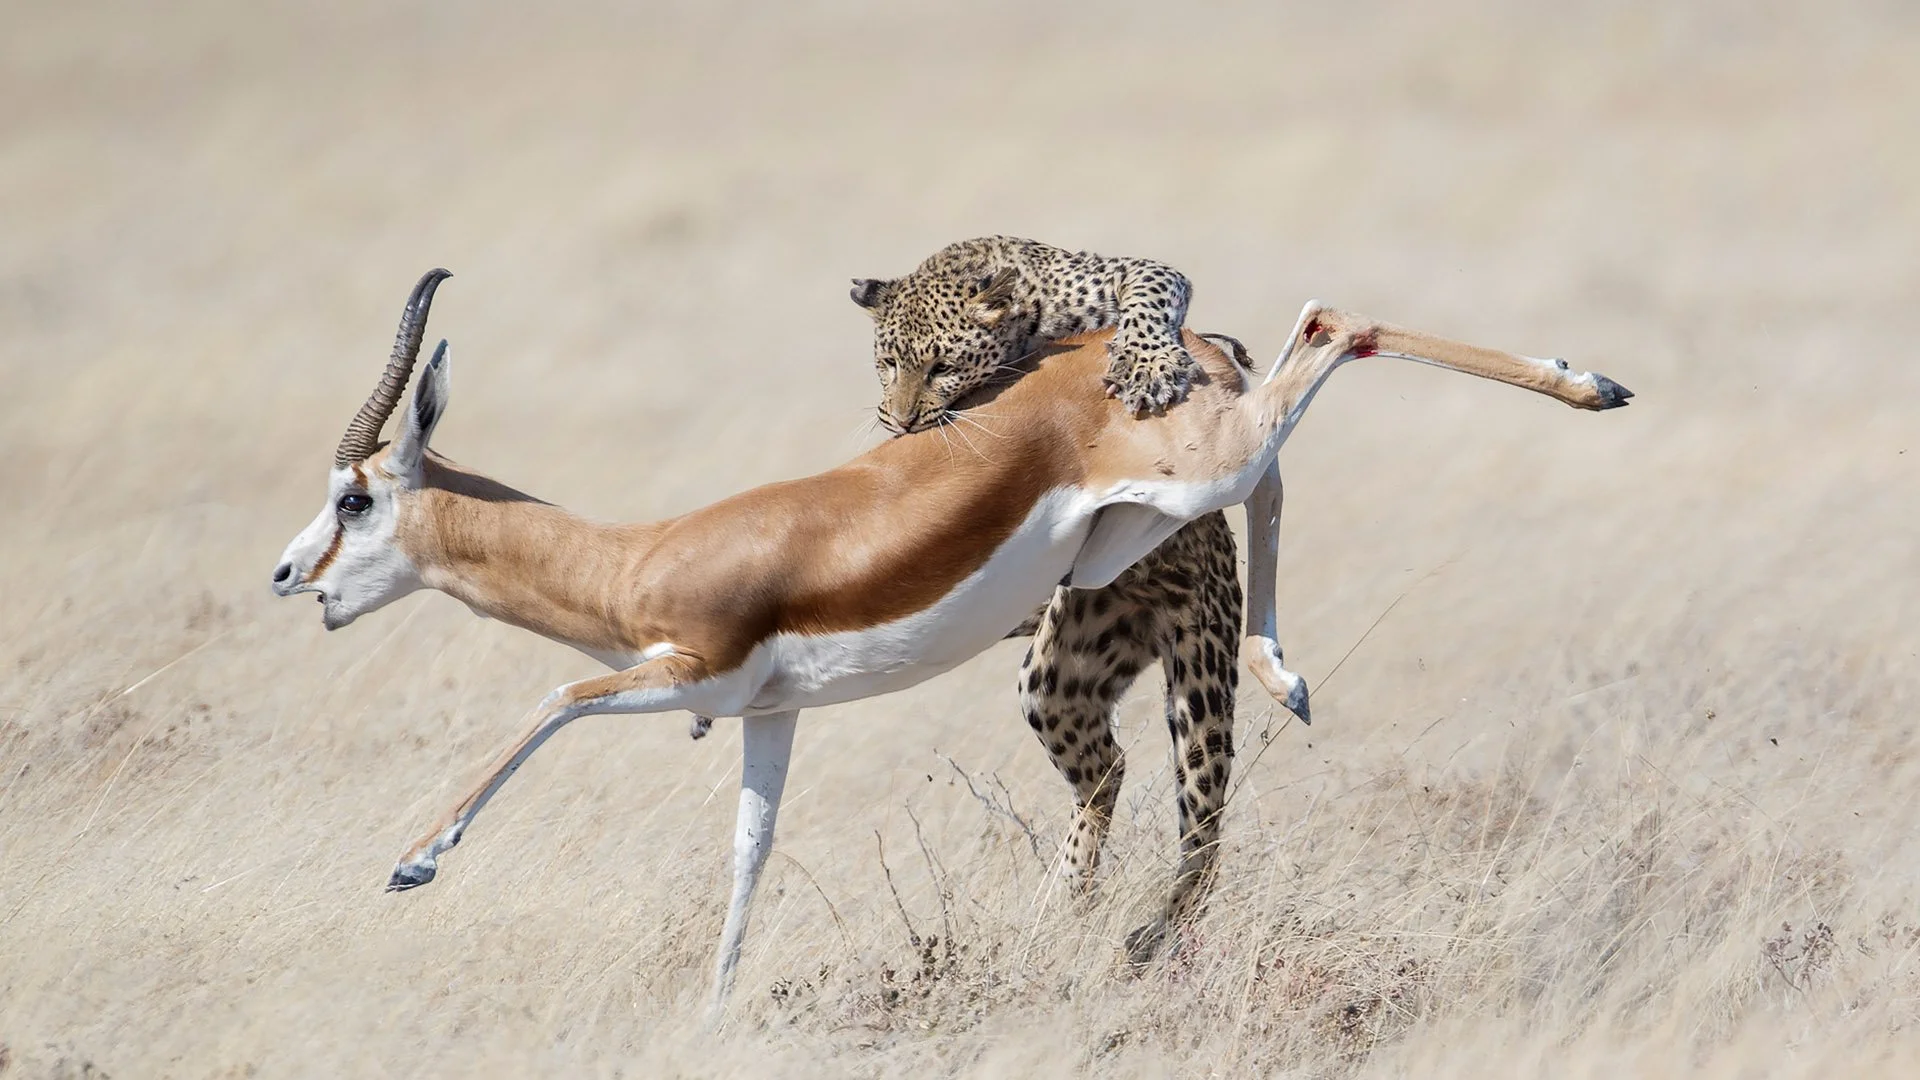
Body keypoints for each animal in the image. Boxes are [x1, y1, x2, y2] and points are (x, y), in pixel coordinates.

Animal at [849, 236, 1298, 962]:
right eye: (888, 364)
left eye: (942, 365)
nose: (900, 420)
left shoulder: (1127, 275)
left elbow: (1148, 301)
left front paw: (1146, 366)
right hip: (1061, 668)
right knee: (1107, 772)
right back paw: (1067, 895)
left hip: (1195, 683)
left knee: (1202, 831)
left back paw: (1151, 932)